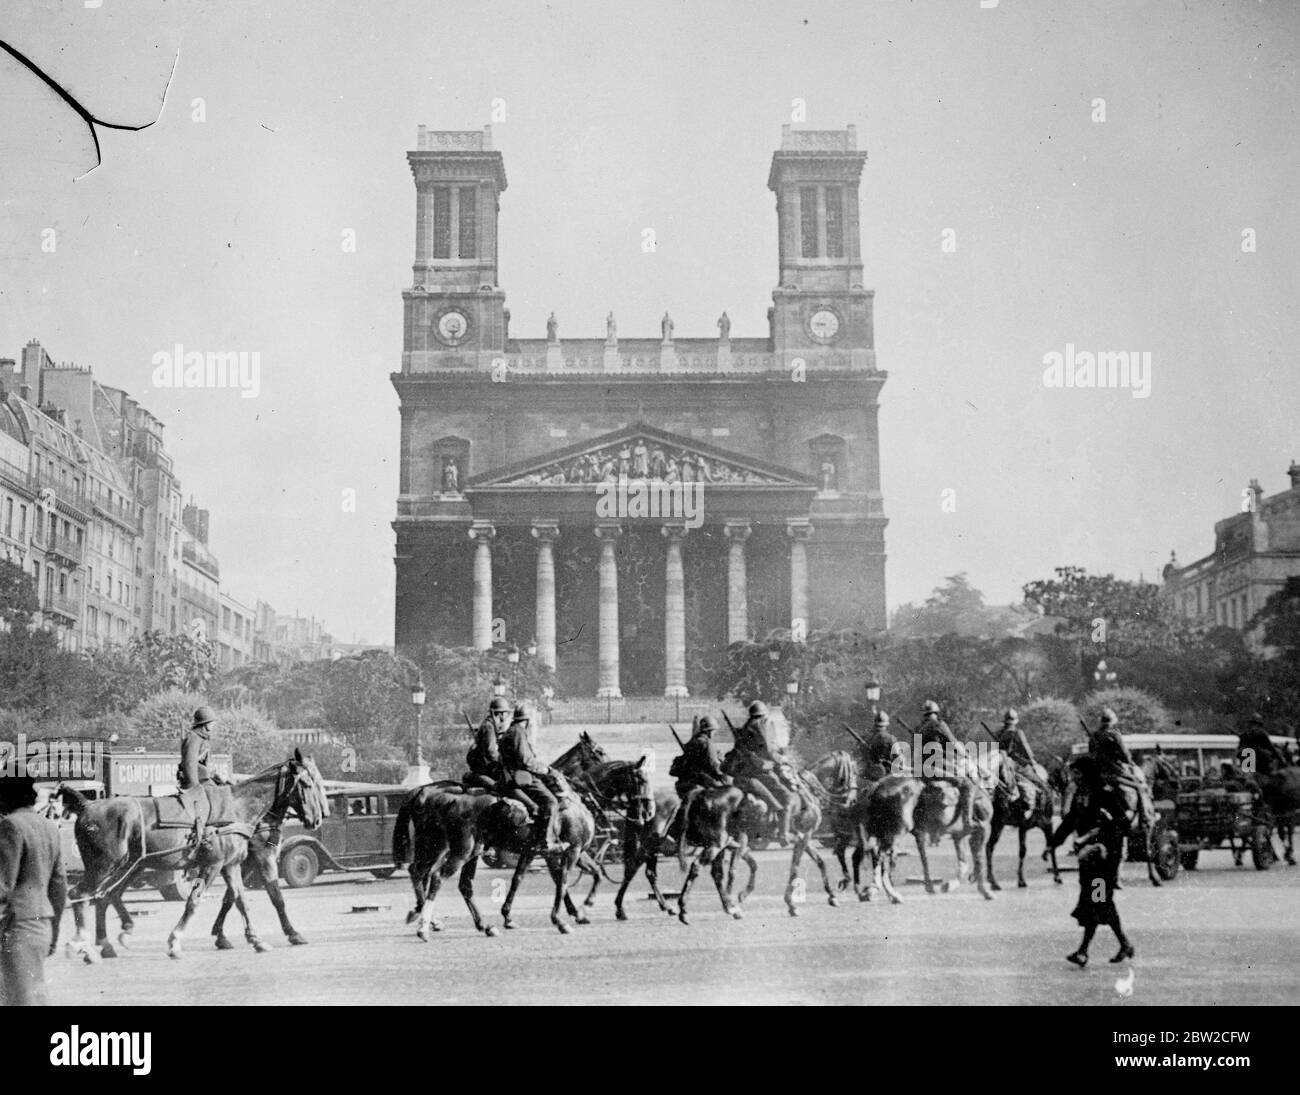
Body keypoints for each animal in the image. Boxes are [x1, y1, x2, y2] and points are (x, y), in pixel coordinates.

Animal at [65, 749, 330, 962]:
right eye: (307, 784)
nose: (319, 818)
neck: (237, 808)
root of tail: (87, 806)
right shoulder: (219, 864)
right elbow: (198, 901)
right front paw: (175, 941)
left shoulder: (232, 865)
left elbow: (238, 900)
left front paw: (252, 938)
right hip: (104, 866)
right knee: (80, 894)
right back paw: (85, 946)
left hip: (128, 866)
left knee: (105, 896)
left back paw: (108, 942)